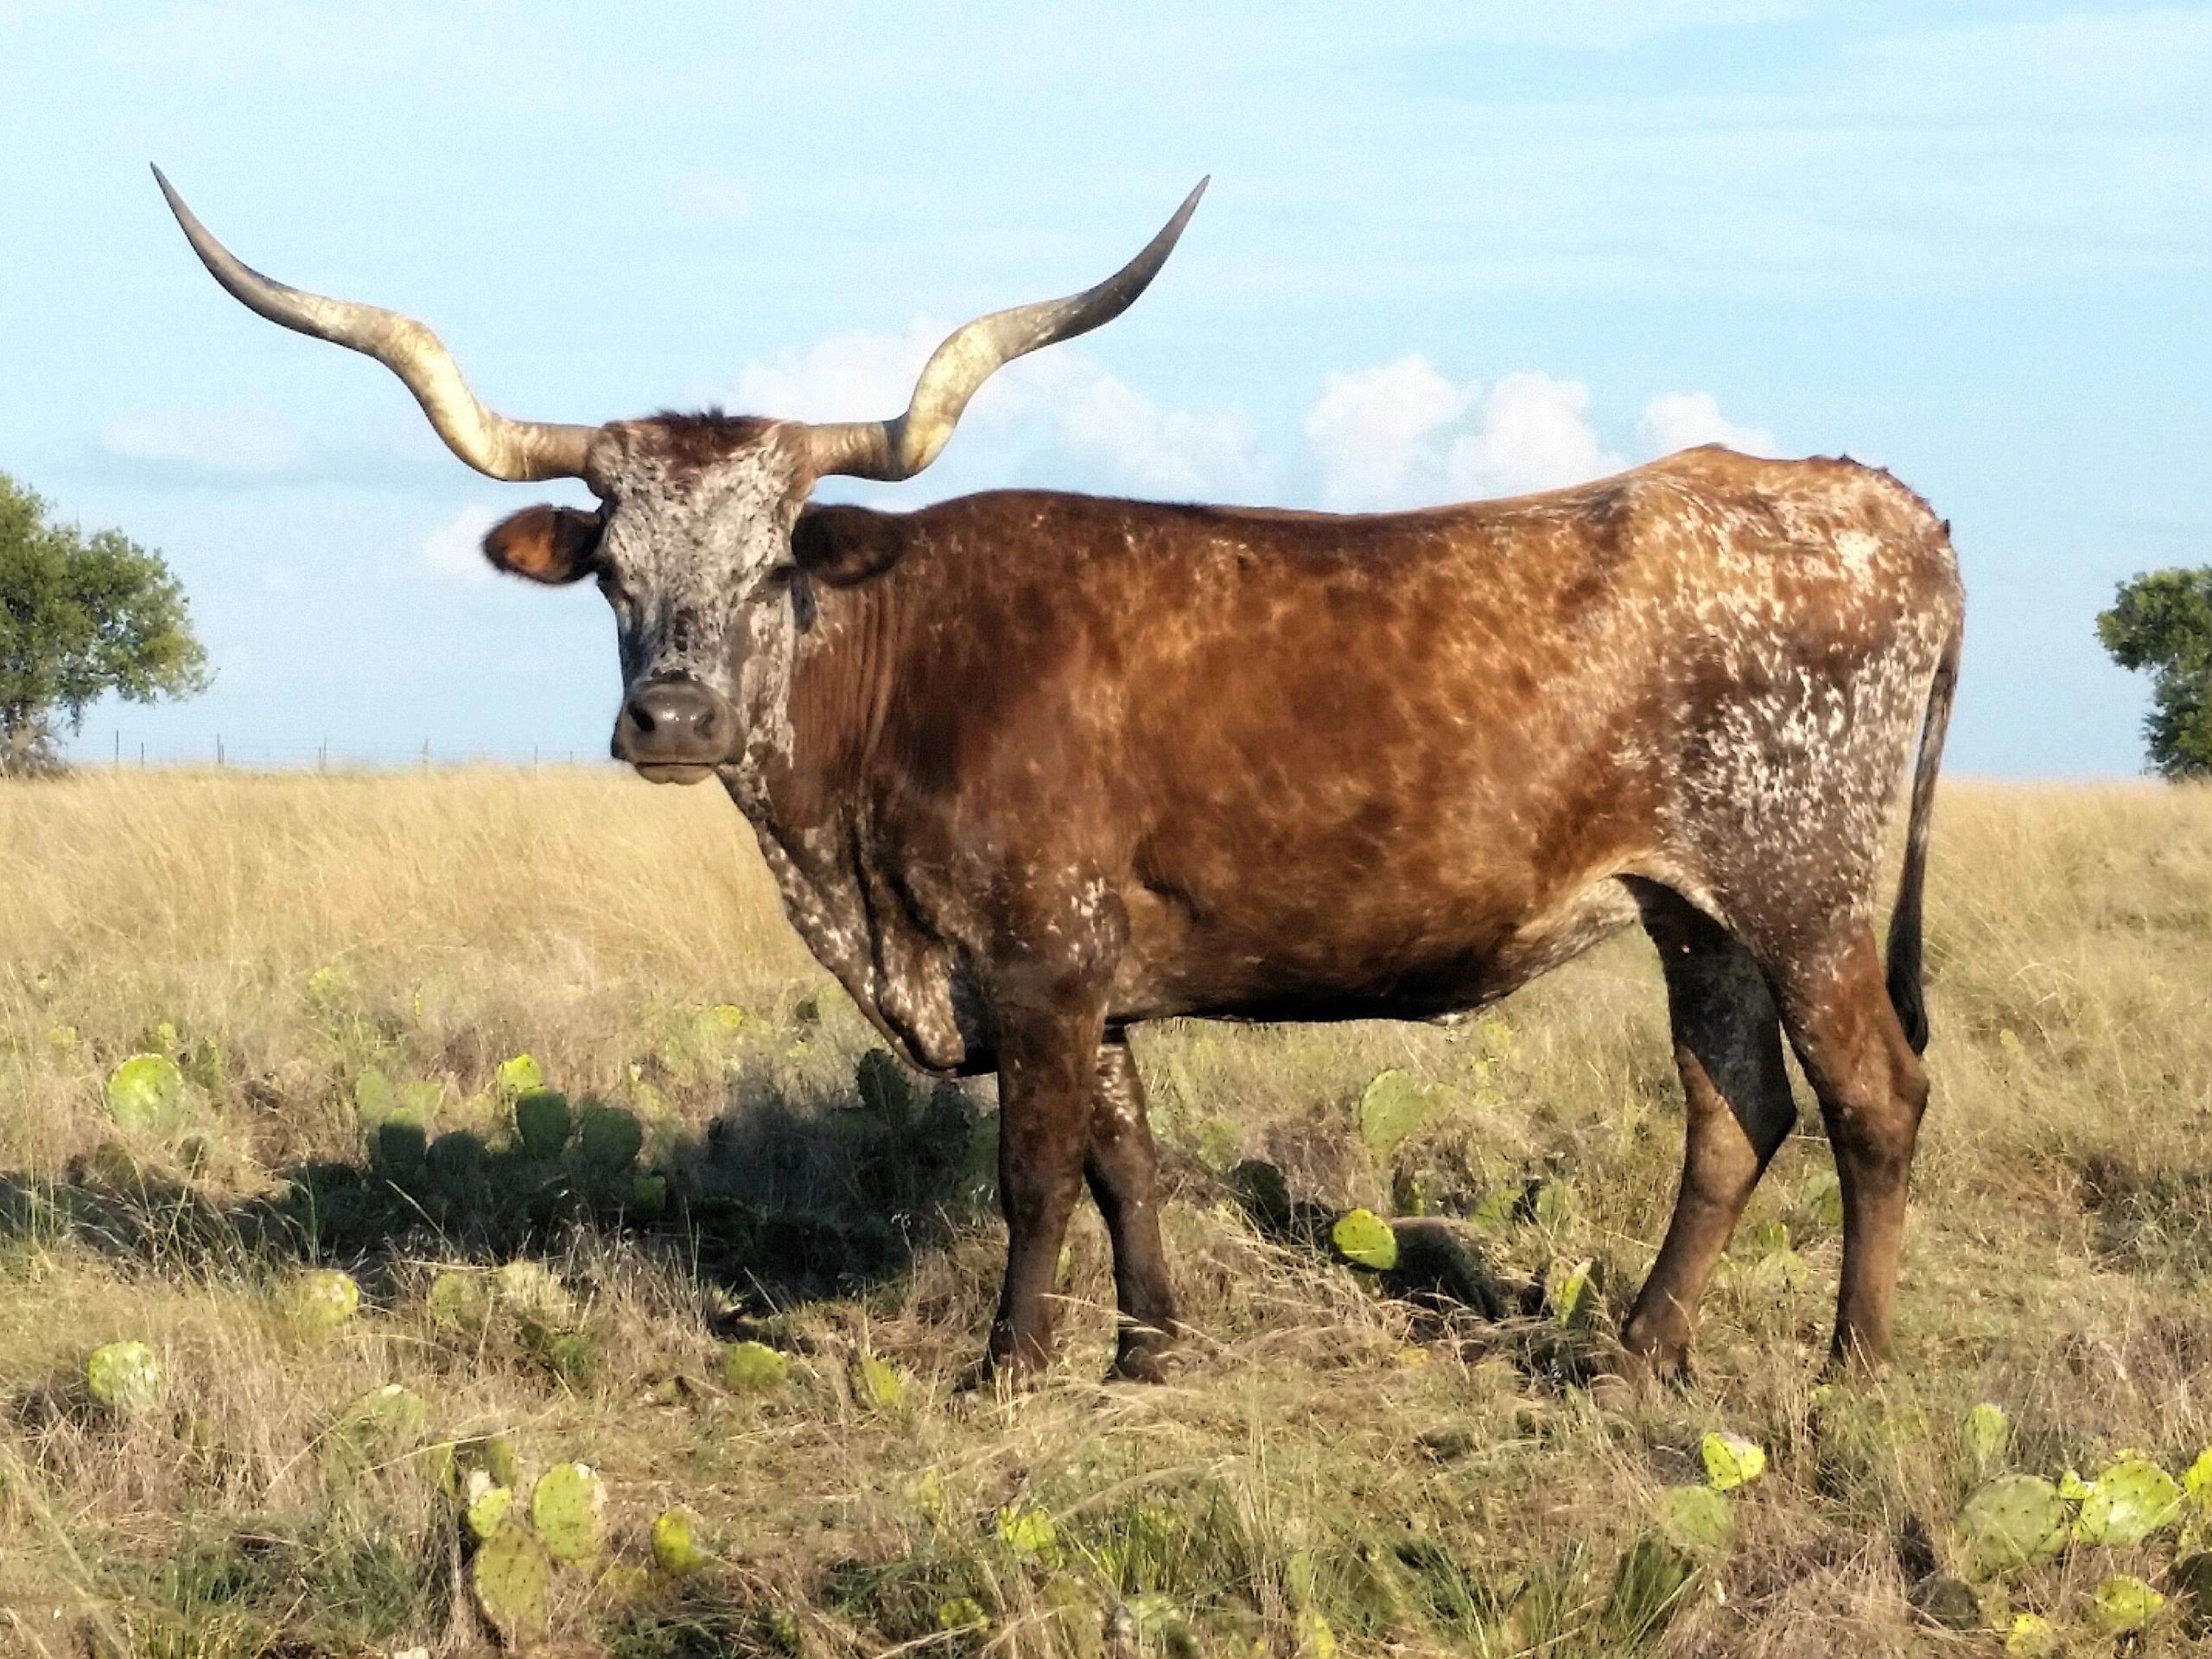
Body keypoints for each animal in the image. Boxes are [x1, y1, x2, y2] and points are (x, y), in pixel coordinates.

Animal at [155, 166, 1964, 1385]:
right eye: (610, 570)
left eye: (770, 565)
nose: (668, 717)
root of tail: (1881, 501)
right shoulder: (1089, 973)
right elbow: (1124, 1154)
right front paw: (1149, 1349)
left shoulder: (1031, 957)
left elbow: (1034, 1171)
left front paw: (1011, 1364)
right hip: (1695, 910)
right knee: (1735, 1113)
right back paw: (1637, 1355)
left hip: (1806, 892)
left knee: (1873, 1101)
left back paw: (1852, 1372)